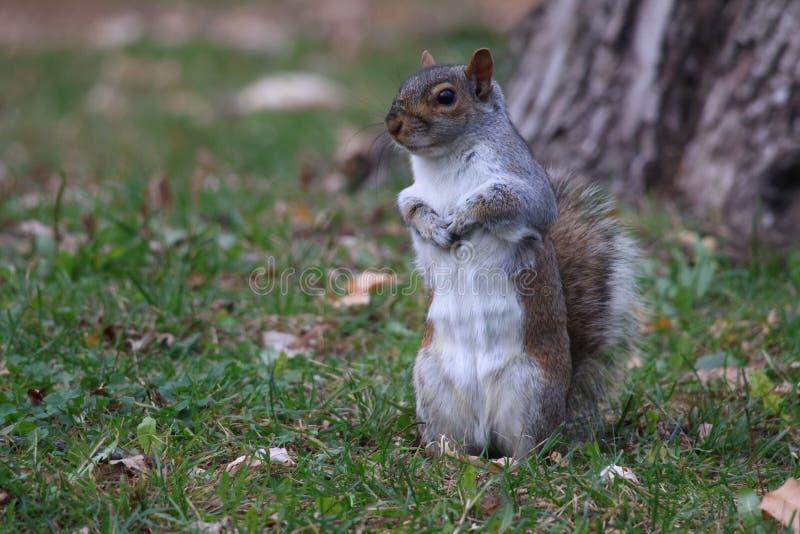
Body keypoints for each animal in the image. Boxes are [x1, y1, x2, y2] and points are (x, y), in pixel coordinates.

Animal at [385, 48, 640, 459]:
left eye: (445, 97)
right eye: (402, 84)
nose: (392, 124)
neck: (443, 160)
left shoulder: (527, 187)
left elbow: (500, 200)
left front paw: (463, 216)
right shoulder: (412, 192)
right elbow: (411, 209)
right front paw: (434, 227)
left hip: (529, 389)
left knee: (529, 446)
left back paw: (512, 462)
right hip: (431, 382)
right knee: (450, 438)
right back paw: (448, 455)